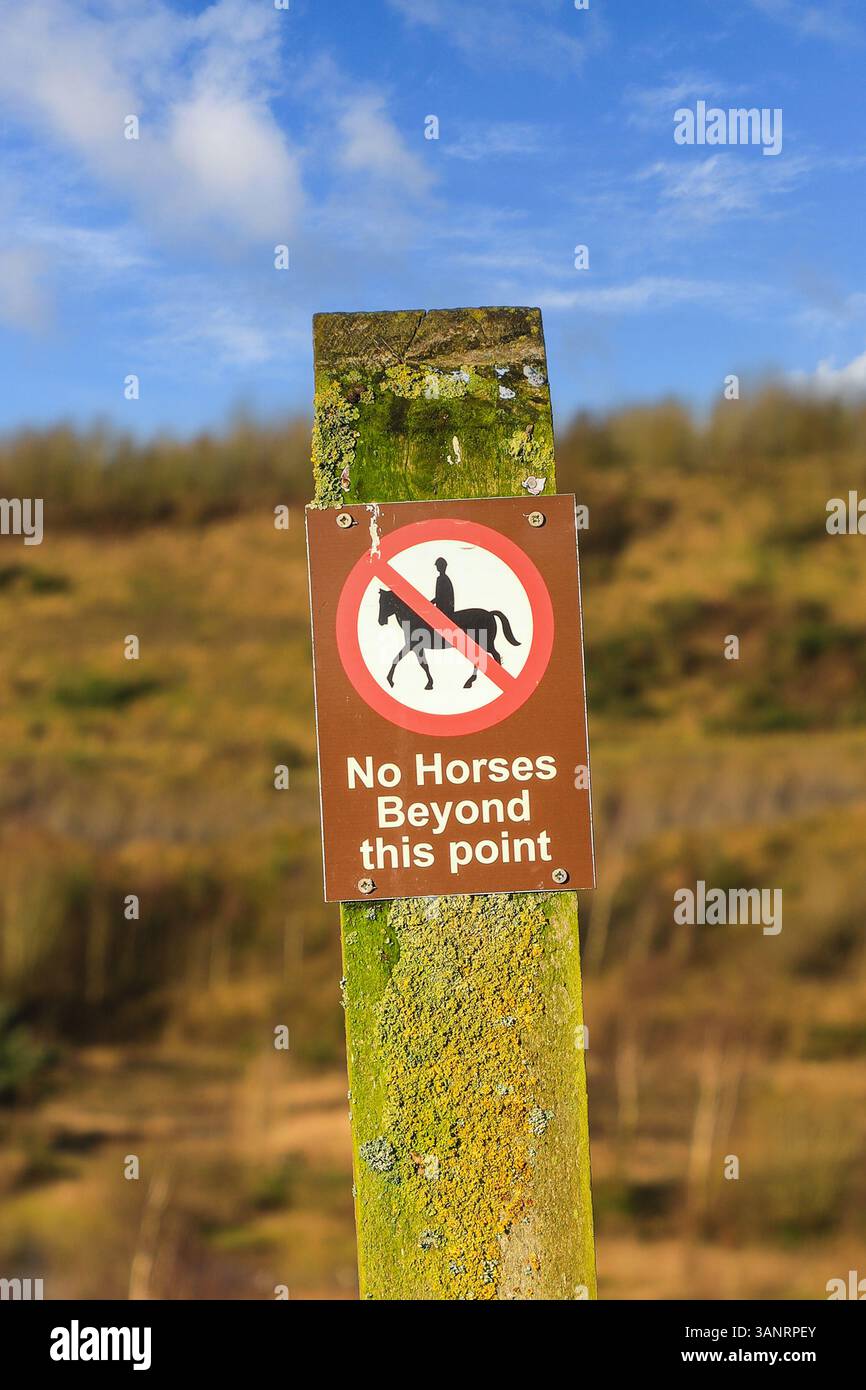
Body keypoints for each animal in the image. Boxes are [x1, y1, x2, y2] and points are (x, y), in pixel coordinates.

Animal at [377, 588, 520, 690]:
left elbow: (398, 658)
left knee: (495, 655)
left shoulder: (412, 644)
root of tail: (490, 613)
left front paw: (390, 680)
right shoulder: (417, 646)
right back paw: (470, 682)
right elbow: (423, 664)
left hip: (485, 643)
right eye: (380, 602)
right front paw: (429, 684)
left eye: (388, 602)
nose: (380, 621)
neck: (412, 617)